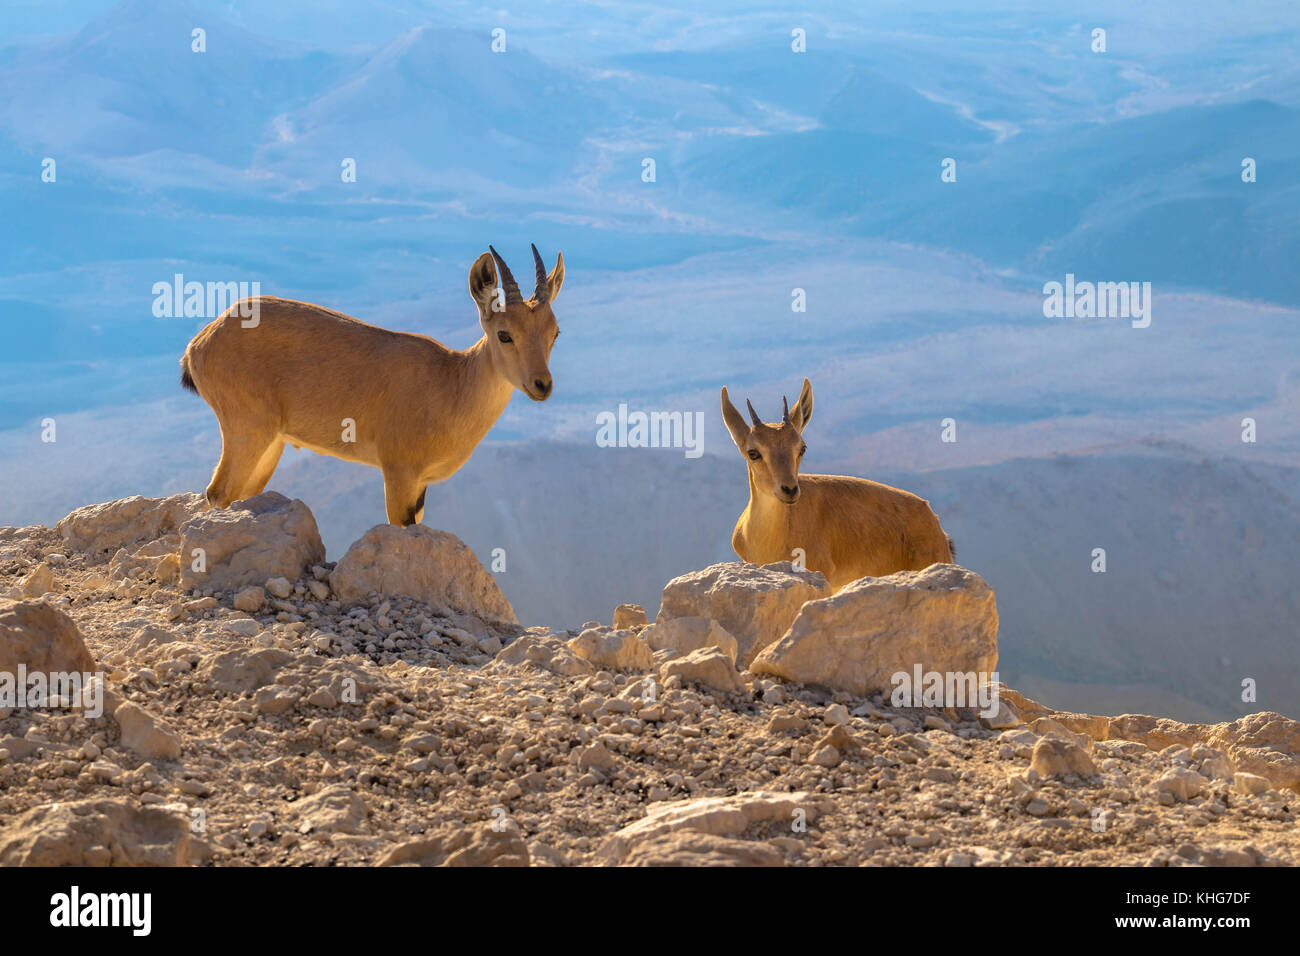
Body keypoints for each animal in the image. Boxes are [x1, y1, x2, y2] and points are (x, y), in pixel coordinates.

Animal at [180, 244, 563, 526]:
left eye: (554, 333)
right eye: (504, 334)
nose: (542, 384)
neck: (450, 385)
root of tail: (199, 343)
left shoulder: (420, 486)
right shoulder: (399, 472)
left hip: (272, 442)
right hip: (247, 429)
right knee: (218, 492)